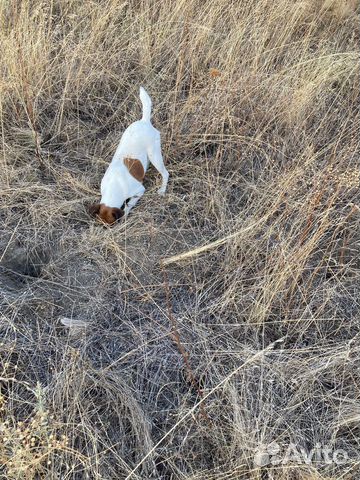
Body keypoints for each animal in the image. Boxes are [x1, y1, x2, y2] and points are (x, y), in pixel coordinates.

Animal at [90, 87, 169, 224]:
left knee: (165, 173)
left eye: (111, 224)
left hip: (155, 155)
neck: (114, 185)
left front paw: (126, 213)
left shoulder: (140, 191)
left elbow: (129, 204)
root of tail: (144, 121)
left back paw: (162, 190)